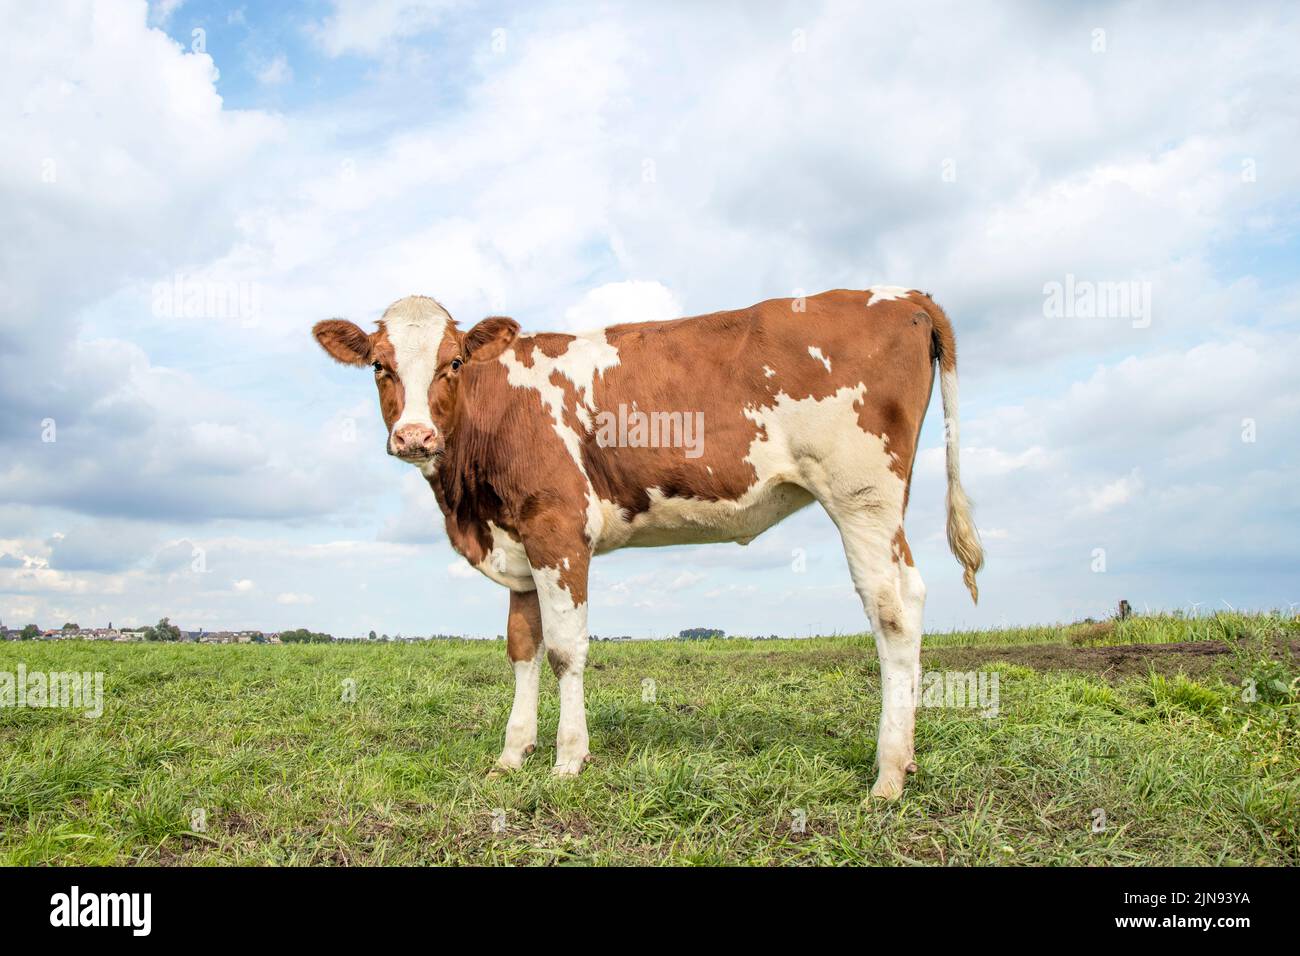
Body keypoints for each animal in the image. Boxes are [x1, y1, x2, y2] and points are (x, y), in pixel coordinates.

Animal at [313, 287, 983, 799]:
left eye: (453, 362)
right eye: (379, 365)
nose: (415, 437)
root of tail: (904, 295)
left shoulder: (559, 527)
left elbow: (564, 650)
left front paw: (567, 760)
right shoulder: (519, 541)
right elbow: (522, 647)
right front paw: (511, 756)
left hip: (862, 495)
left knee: (893, 610)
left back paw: (888, 776)